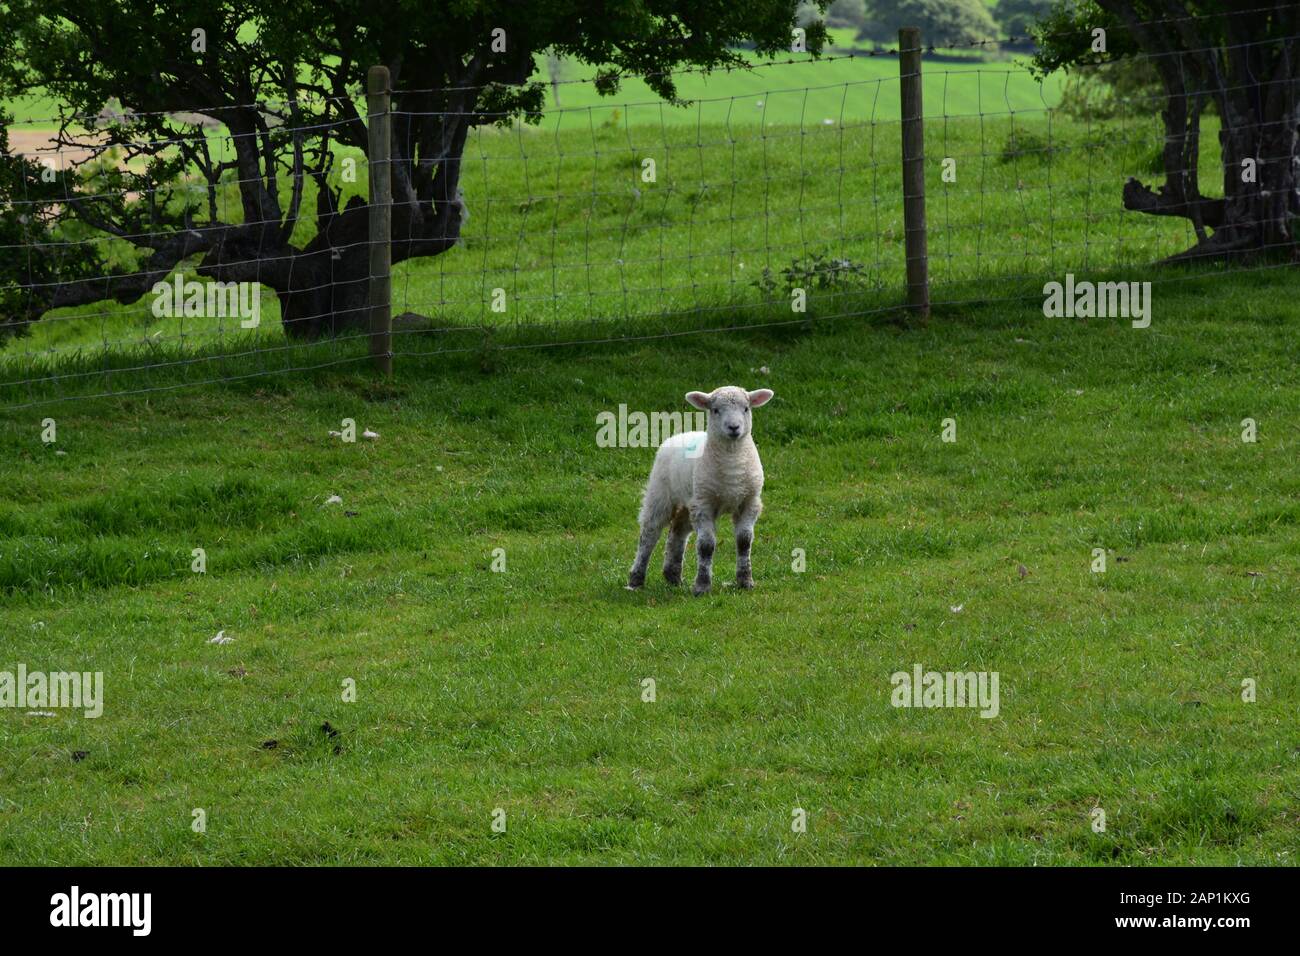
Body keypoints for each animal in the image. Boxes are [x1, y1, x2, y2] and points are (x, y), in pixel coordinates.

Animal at [627, 386, 775, 595]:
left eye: (746, 408)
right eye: (715, 410)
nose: (734, 427)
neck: (732, 465)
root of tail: (680, 434)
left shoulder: (749, 502)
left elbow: (744, 541)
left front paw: (745, 581)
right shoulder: (704, 505)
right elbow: (706, 546)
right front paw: (702, 586)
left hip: (690, 501)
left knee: (677, 531)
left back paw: (673, 576)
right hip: (661, 493)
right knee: (649, 533)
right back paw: (636, 579)